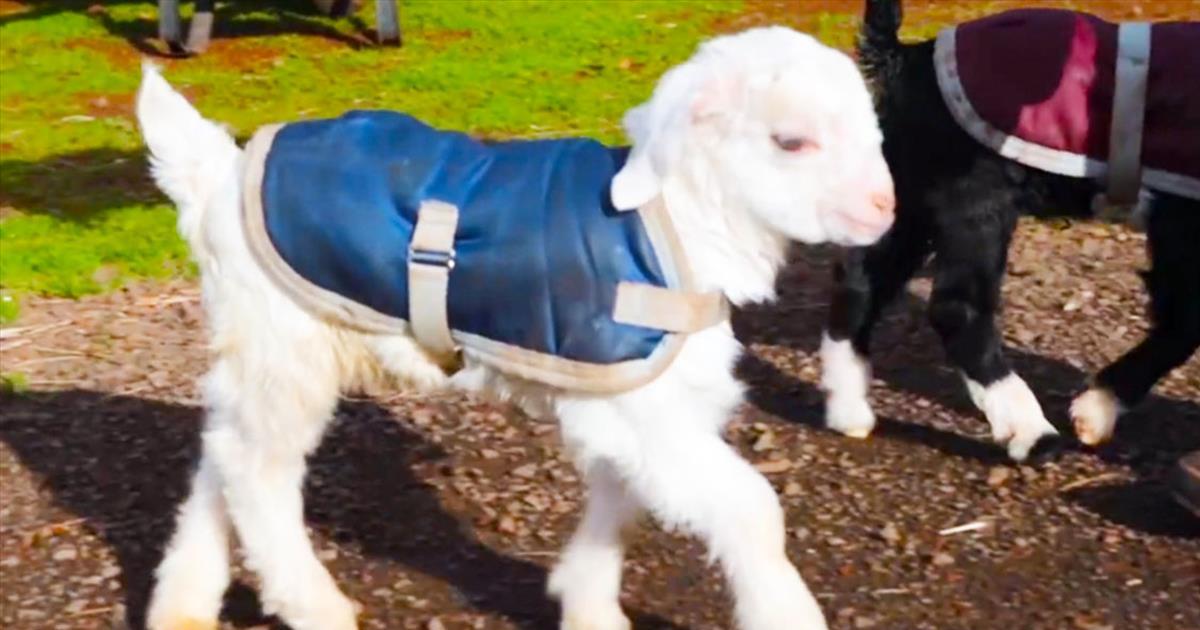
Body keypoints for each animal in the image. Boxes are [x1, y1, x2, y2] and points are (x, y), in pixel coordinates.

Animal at [136, 25, 894, 630]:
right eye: (791, 142)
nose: (884, 208)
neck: (676, 224)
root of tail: (221, 174)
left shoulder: (630, 403)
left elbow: (619, 499)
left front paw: (585, 603)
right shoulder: (643, 407)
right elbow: (753, 510)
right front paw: (788, 615)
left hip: (259, 347)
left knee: (221, 455)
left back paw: (183, 606)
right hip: (287, 344)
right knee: (256, 470)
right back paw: (313, 606)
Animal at [821, 0, 1199, 462]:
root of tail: (907, 57)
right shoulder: (1182, 224)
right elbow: (1187, 320)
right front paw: (1097, 408)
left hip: (909, 193)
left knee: (861, 281)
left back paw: (848, 410)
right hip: (976, 197)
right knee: (956, 308)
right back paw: (1030, 431)